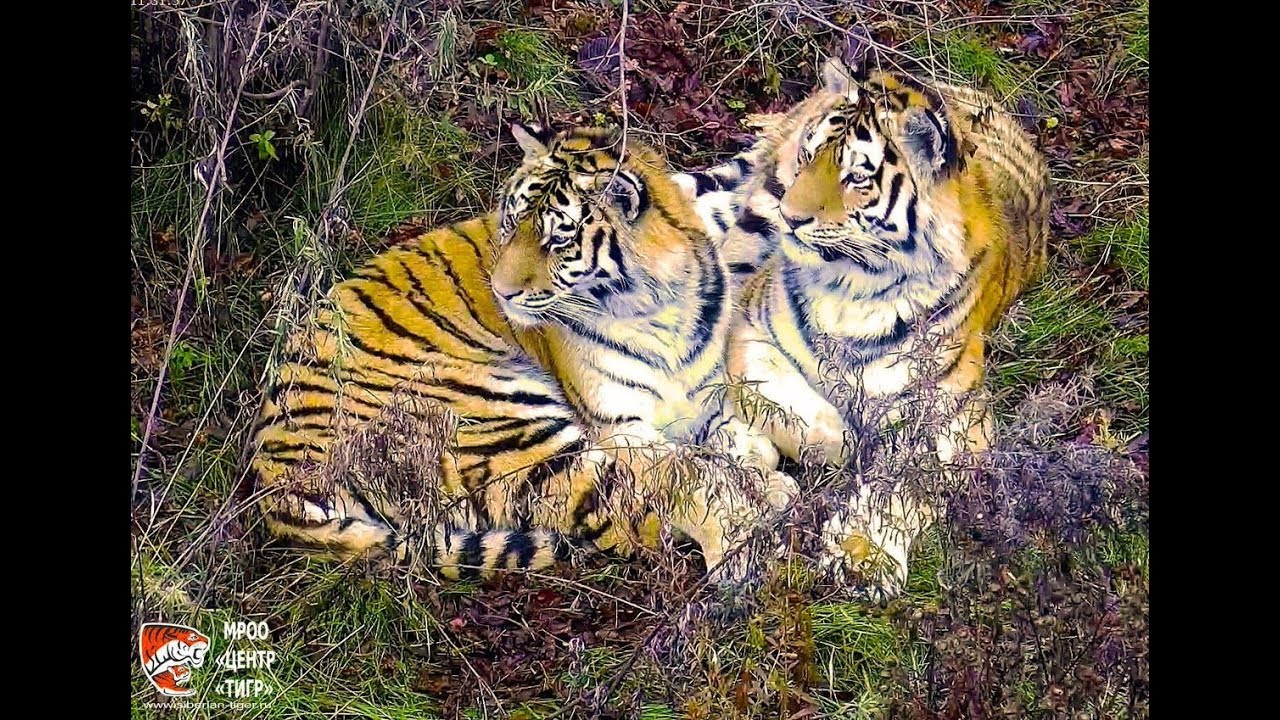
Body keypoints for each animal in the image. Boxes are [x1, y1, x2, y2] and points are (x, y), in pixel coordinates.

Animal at [251, 124, 795, 584]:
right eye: (512, 221)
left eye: (558, 239)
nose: (501, 292)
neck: (661, 308)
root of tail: (273, 484)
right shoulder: (618, 426)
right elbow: (691, 471)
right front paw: (751, 511)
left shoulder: (701, 401)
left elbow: (728, 444)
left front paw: (758, 467)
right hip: (503, 424)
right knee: (617, 513)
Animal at [700, 58, 1050, 599]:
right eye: (810, 154)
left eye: (857, 177)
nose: (791, 217)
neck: (858, 286)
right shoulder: (754, 334)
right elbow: (803, 416)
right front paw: (836, 449)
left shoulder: (956, 415)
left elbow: (910, 483)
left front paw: (862, 556)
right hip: (752, 220)